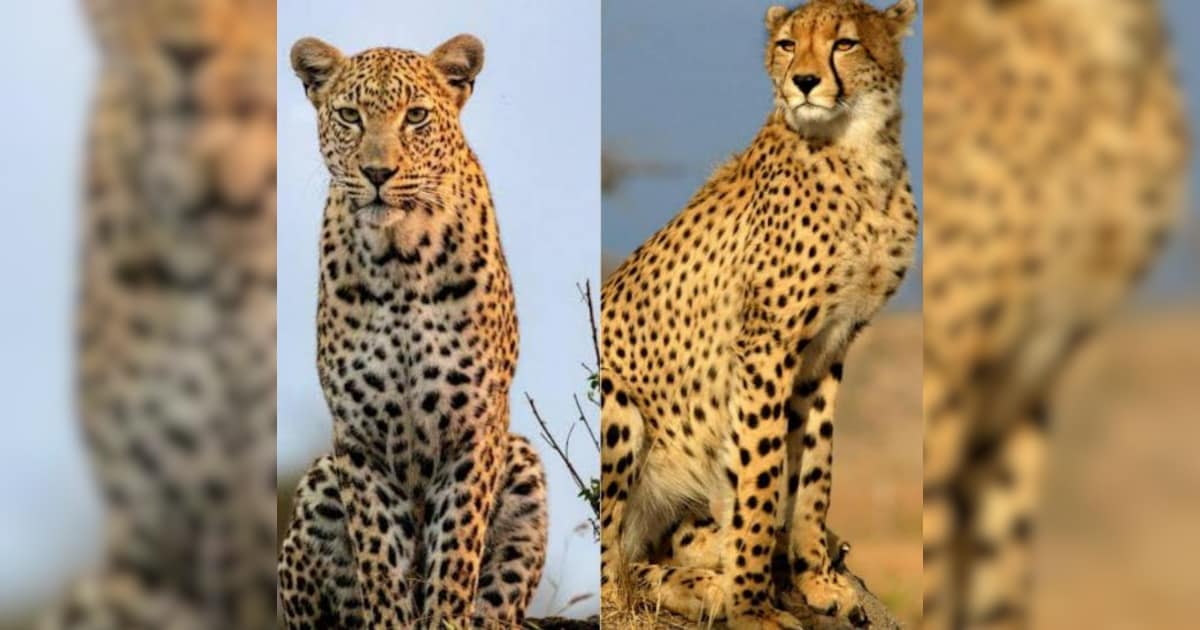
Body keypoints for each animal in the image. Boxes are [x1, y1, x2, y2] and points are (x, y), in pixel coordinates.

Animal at [275, 34, 548, 629]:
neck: (400, 258)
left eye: (416, 116)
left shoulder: (474, 429)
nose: (378, 172)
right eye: (350, 117)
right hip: (319, 482)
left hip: (522, 466)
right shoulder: (358, 438)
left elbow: (455, 556)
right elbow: (380, 559)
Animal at [599, 1, 919, 628]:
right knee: (611, 570)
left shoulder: (827, 347)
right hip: (613, 400)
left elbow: (813, 468)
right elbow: (761, 474)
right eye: (787, 44)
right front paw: (753, 604)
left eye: (845, 43)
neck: (860, 153)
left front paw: (815, 577)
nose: (805, 82)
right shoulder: (766, 345)